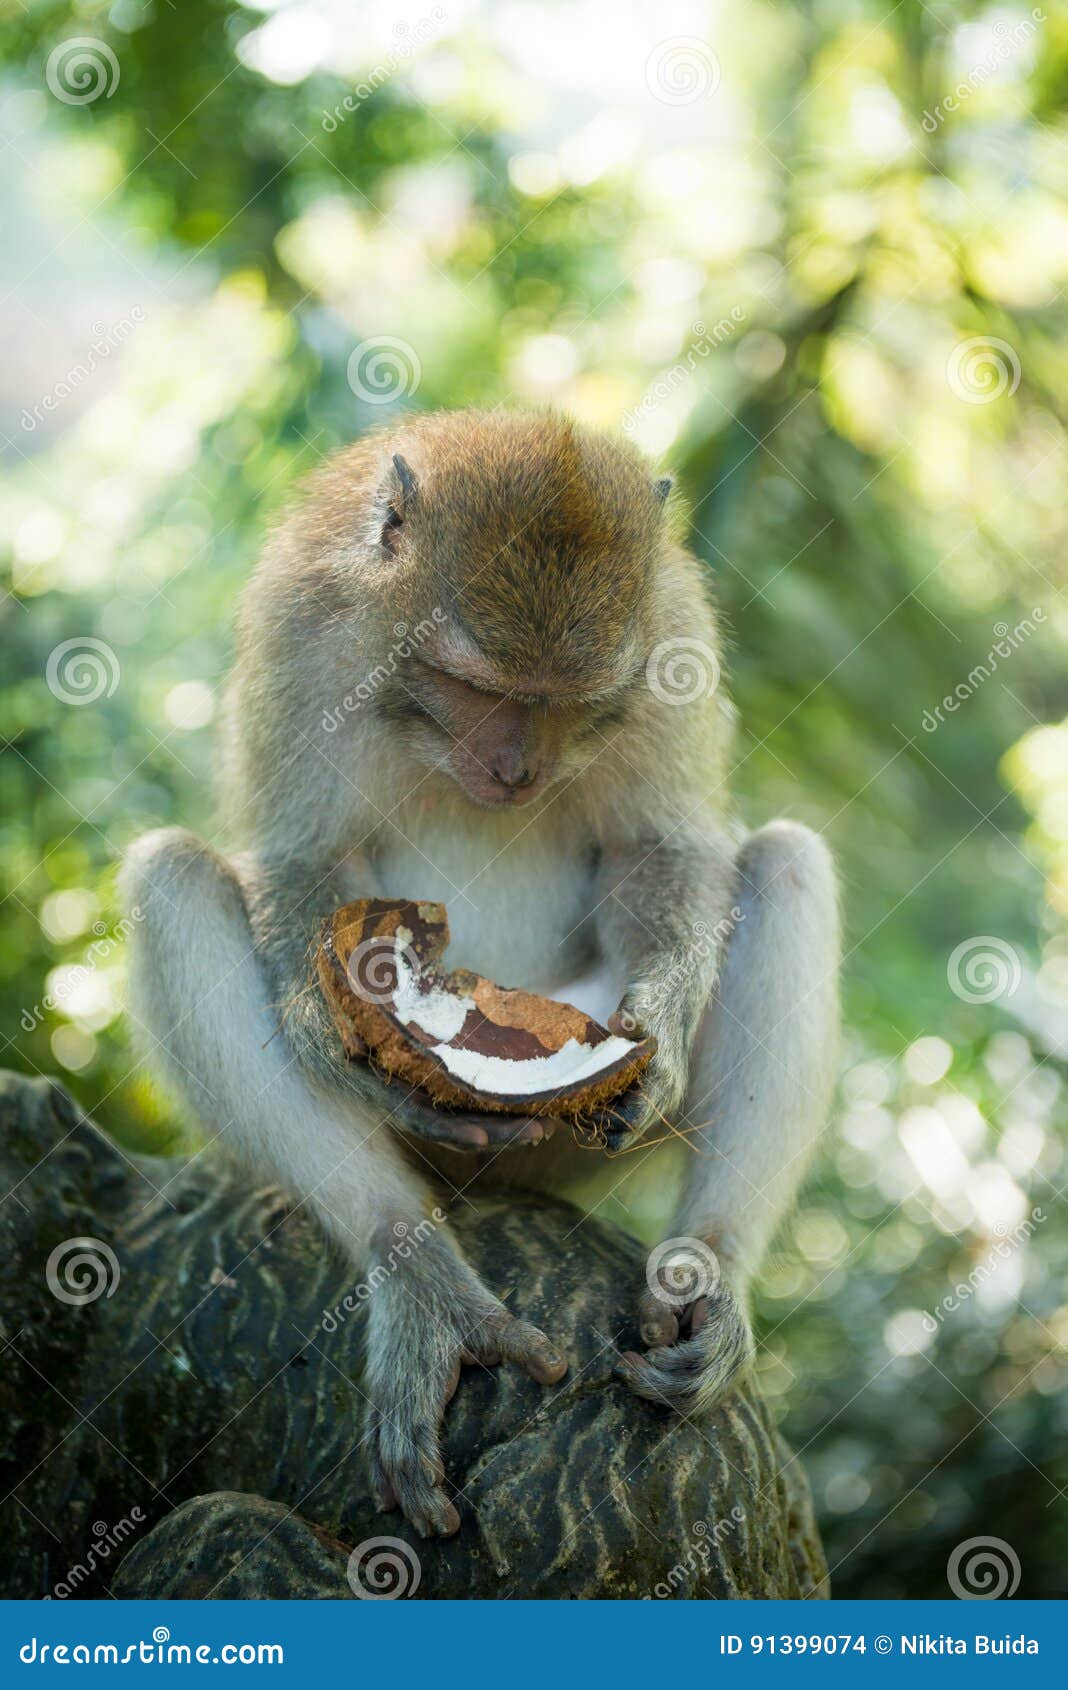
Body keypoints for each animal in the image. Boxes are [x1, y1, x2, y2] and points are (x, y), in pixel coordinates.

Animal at [121, 409, 839, 1541]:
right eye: (476, 688)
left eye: (573, 701)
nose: (516, 770)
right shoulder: (301, 626)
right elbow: (298, 856)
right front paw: (333, 1034)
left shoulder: (671, 640)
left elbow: (657, 849)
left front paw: (662, 1029)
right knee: (173, 879)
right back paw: (418, 1276)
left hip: (567, 1157)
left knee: (786, 865)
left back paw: (706, 1277)